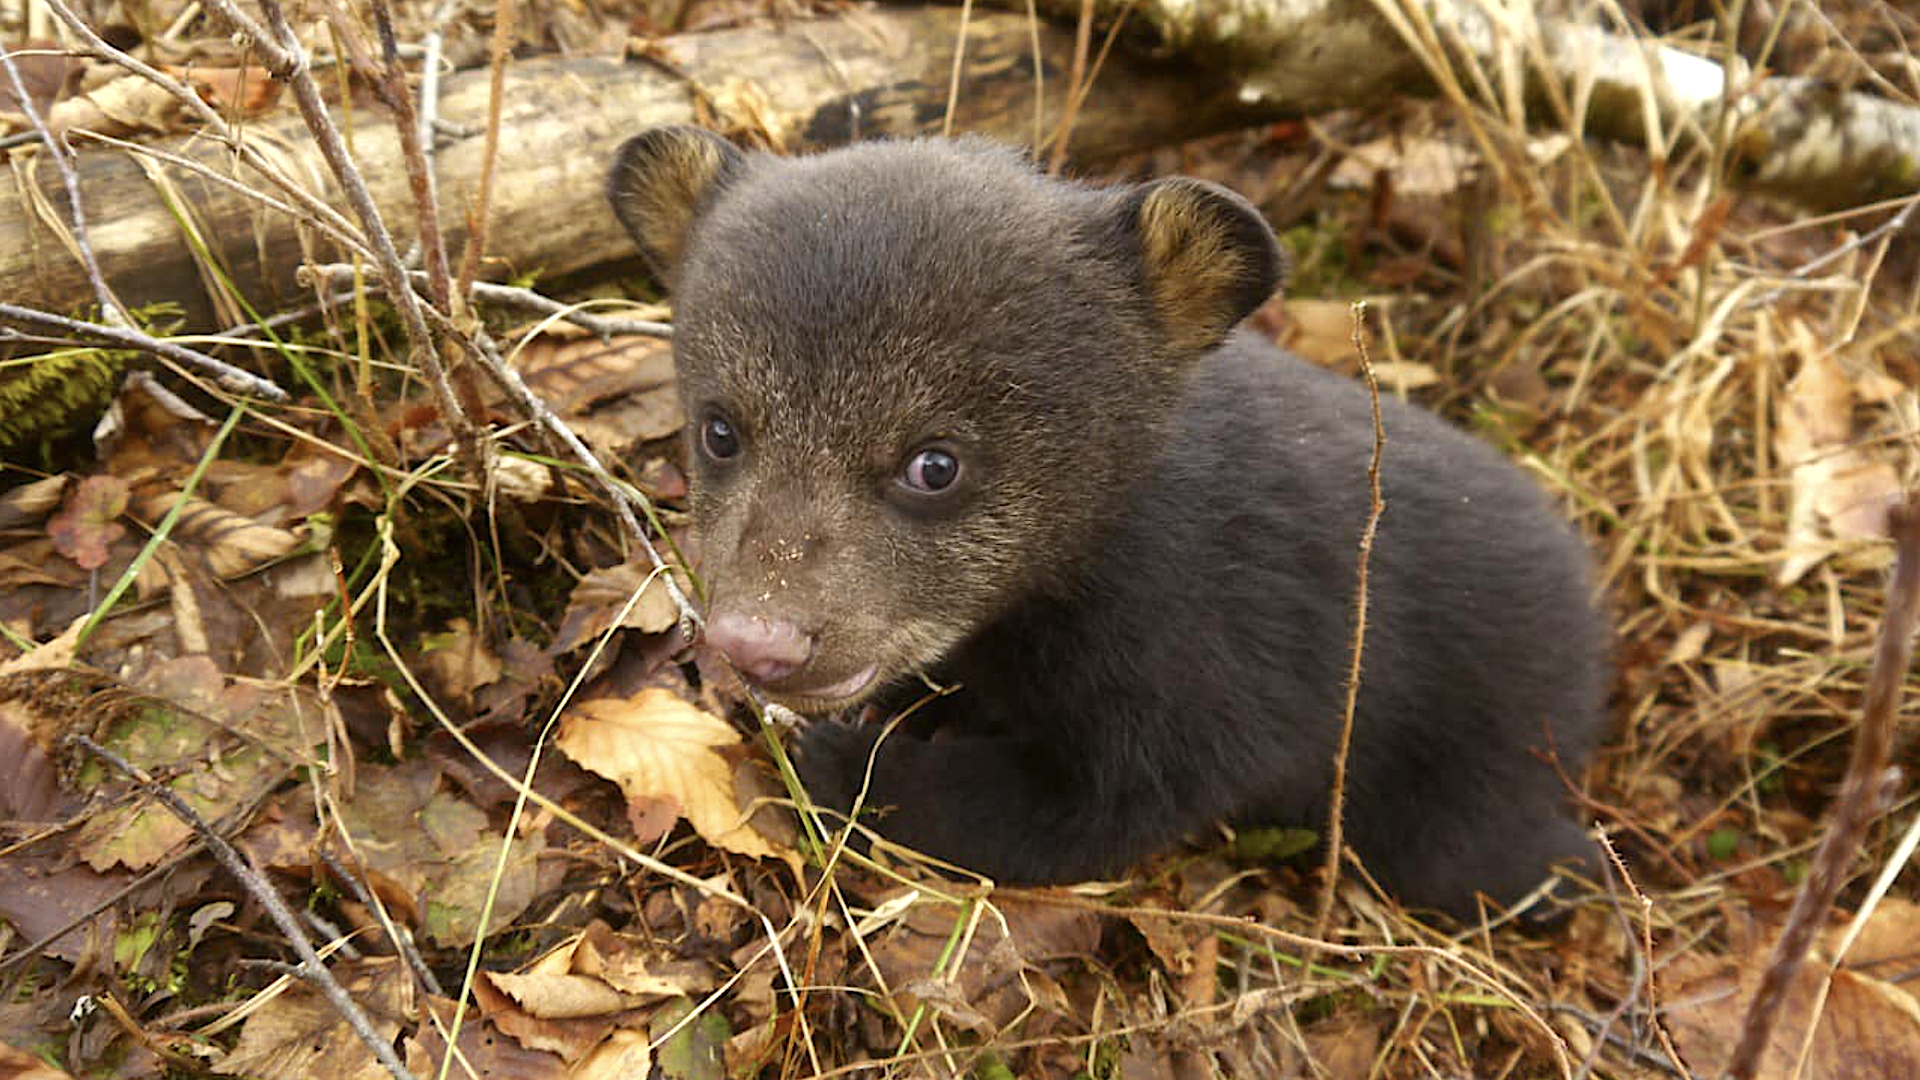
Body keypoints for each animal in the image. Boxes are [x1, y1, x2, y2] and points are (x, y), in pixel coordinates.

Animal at [606, 126, 1609, 918]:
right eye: (721, 430)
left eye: (936, 463)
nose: (760, 640)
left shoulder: (1211, 645)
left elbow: (1099, 805)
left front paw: (851, 765)